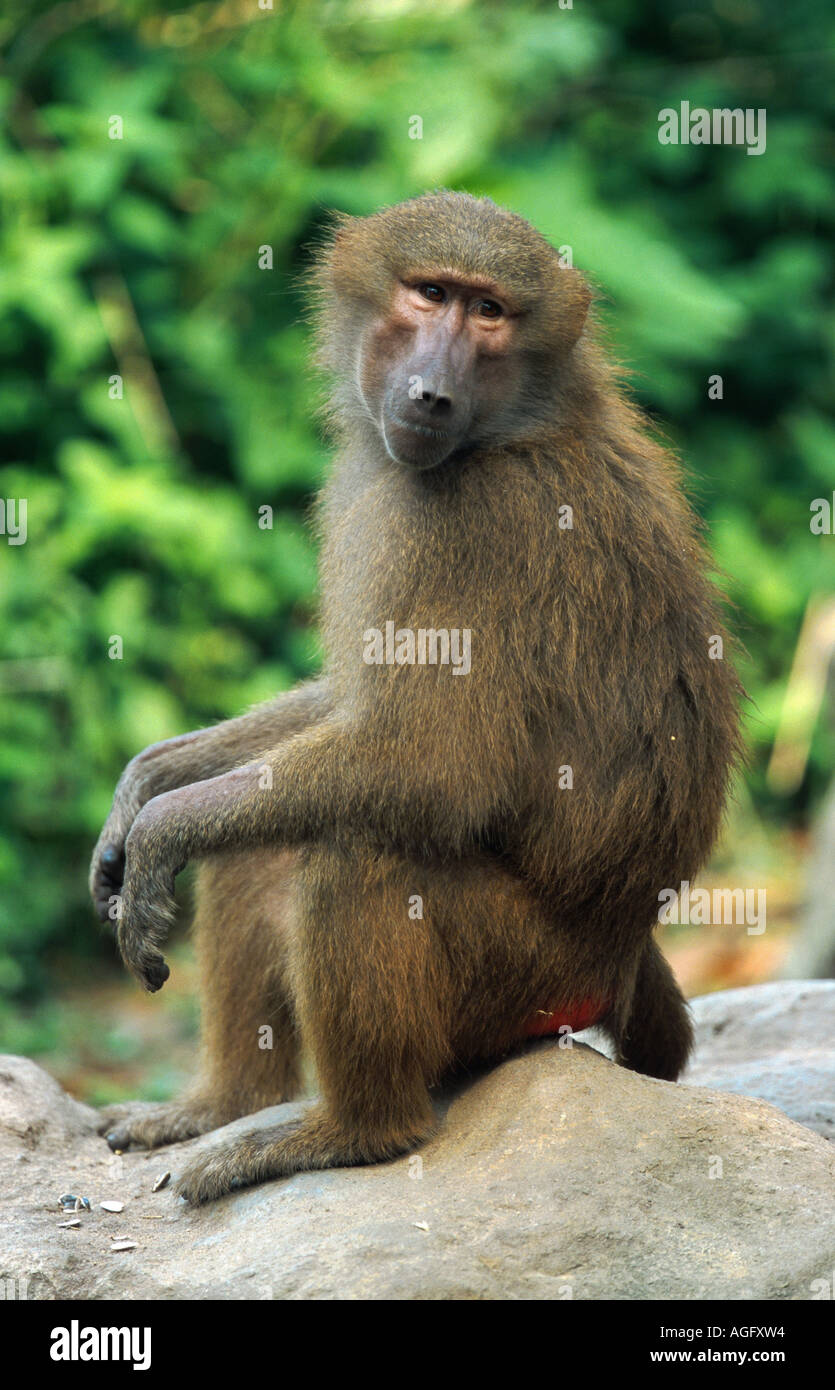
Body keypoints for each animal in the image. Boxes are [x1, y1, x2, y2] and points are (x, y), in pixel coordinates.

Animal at [89, 191, 742, 1203]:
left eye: (490, 313)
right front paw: (149, 786)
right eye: (429, 293)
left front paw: (161, 827)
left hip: (522, 972)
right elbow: (351, 709)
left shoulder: (470, 530)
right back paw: (221, 1106)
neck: (514, 424)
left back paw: (350, 1131)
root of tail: (623, 947)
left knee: (361, 852)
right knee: (257, 849)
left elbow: (430, 768)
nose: (430, 393)